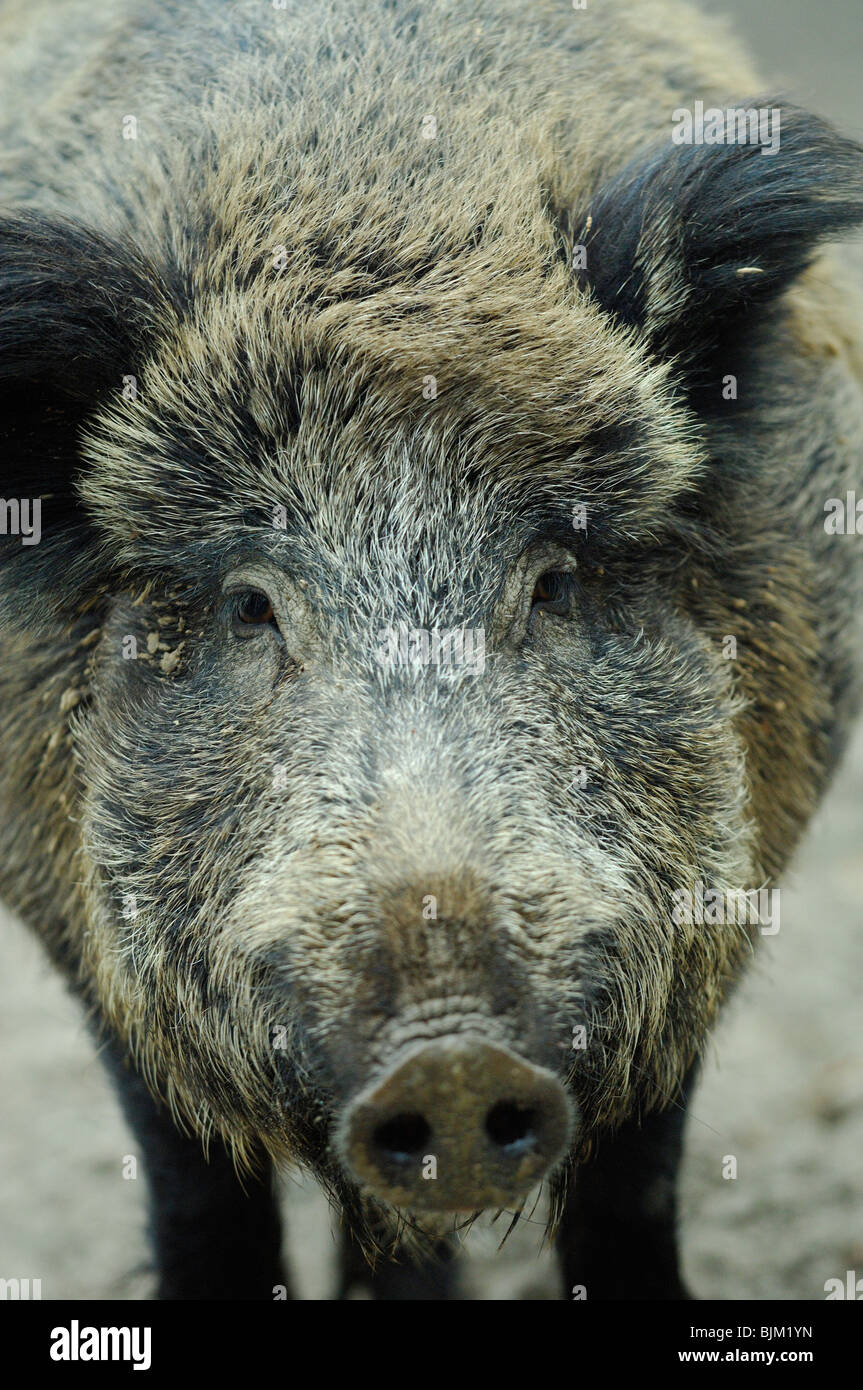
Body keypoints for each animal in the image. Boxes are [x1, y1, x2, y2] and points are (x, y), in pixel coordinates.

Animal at [1, 0, 862, 1300]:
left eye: (553, 582)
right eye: (251, 606)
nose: (449, 1059)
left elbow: (633, 1180)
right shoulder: (83, 929)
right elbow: (193, 1183)